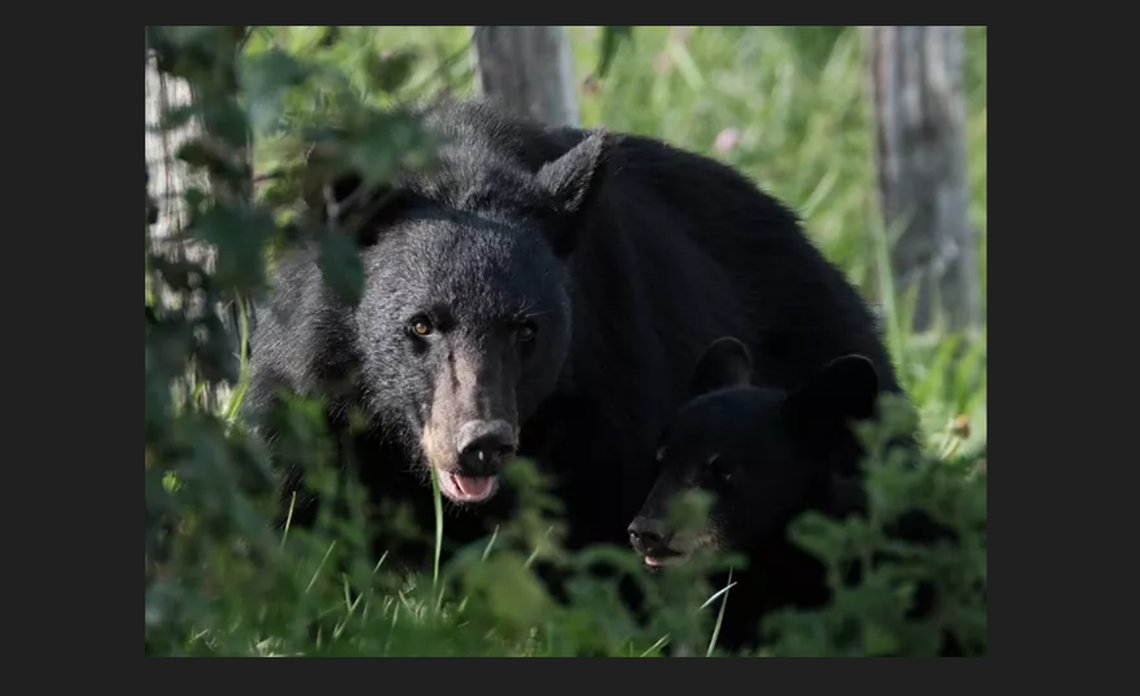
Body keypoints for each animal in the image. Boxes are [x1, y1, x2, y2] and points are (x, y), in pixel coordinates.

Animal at [242, 98, 906, 577]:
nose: (481, 445)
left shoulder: (608, 397)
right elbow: (301, 513)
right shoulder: (311, 389)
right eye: (421, 324)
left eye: (526, 329)